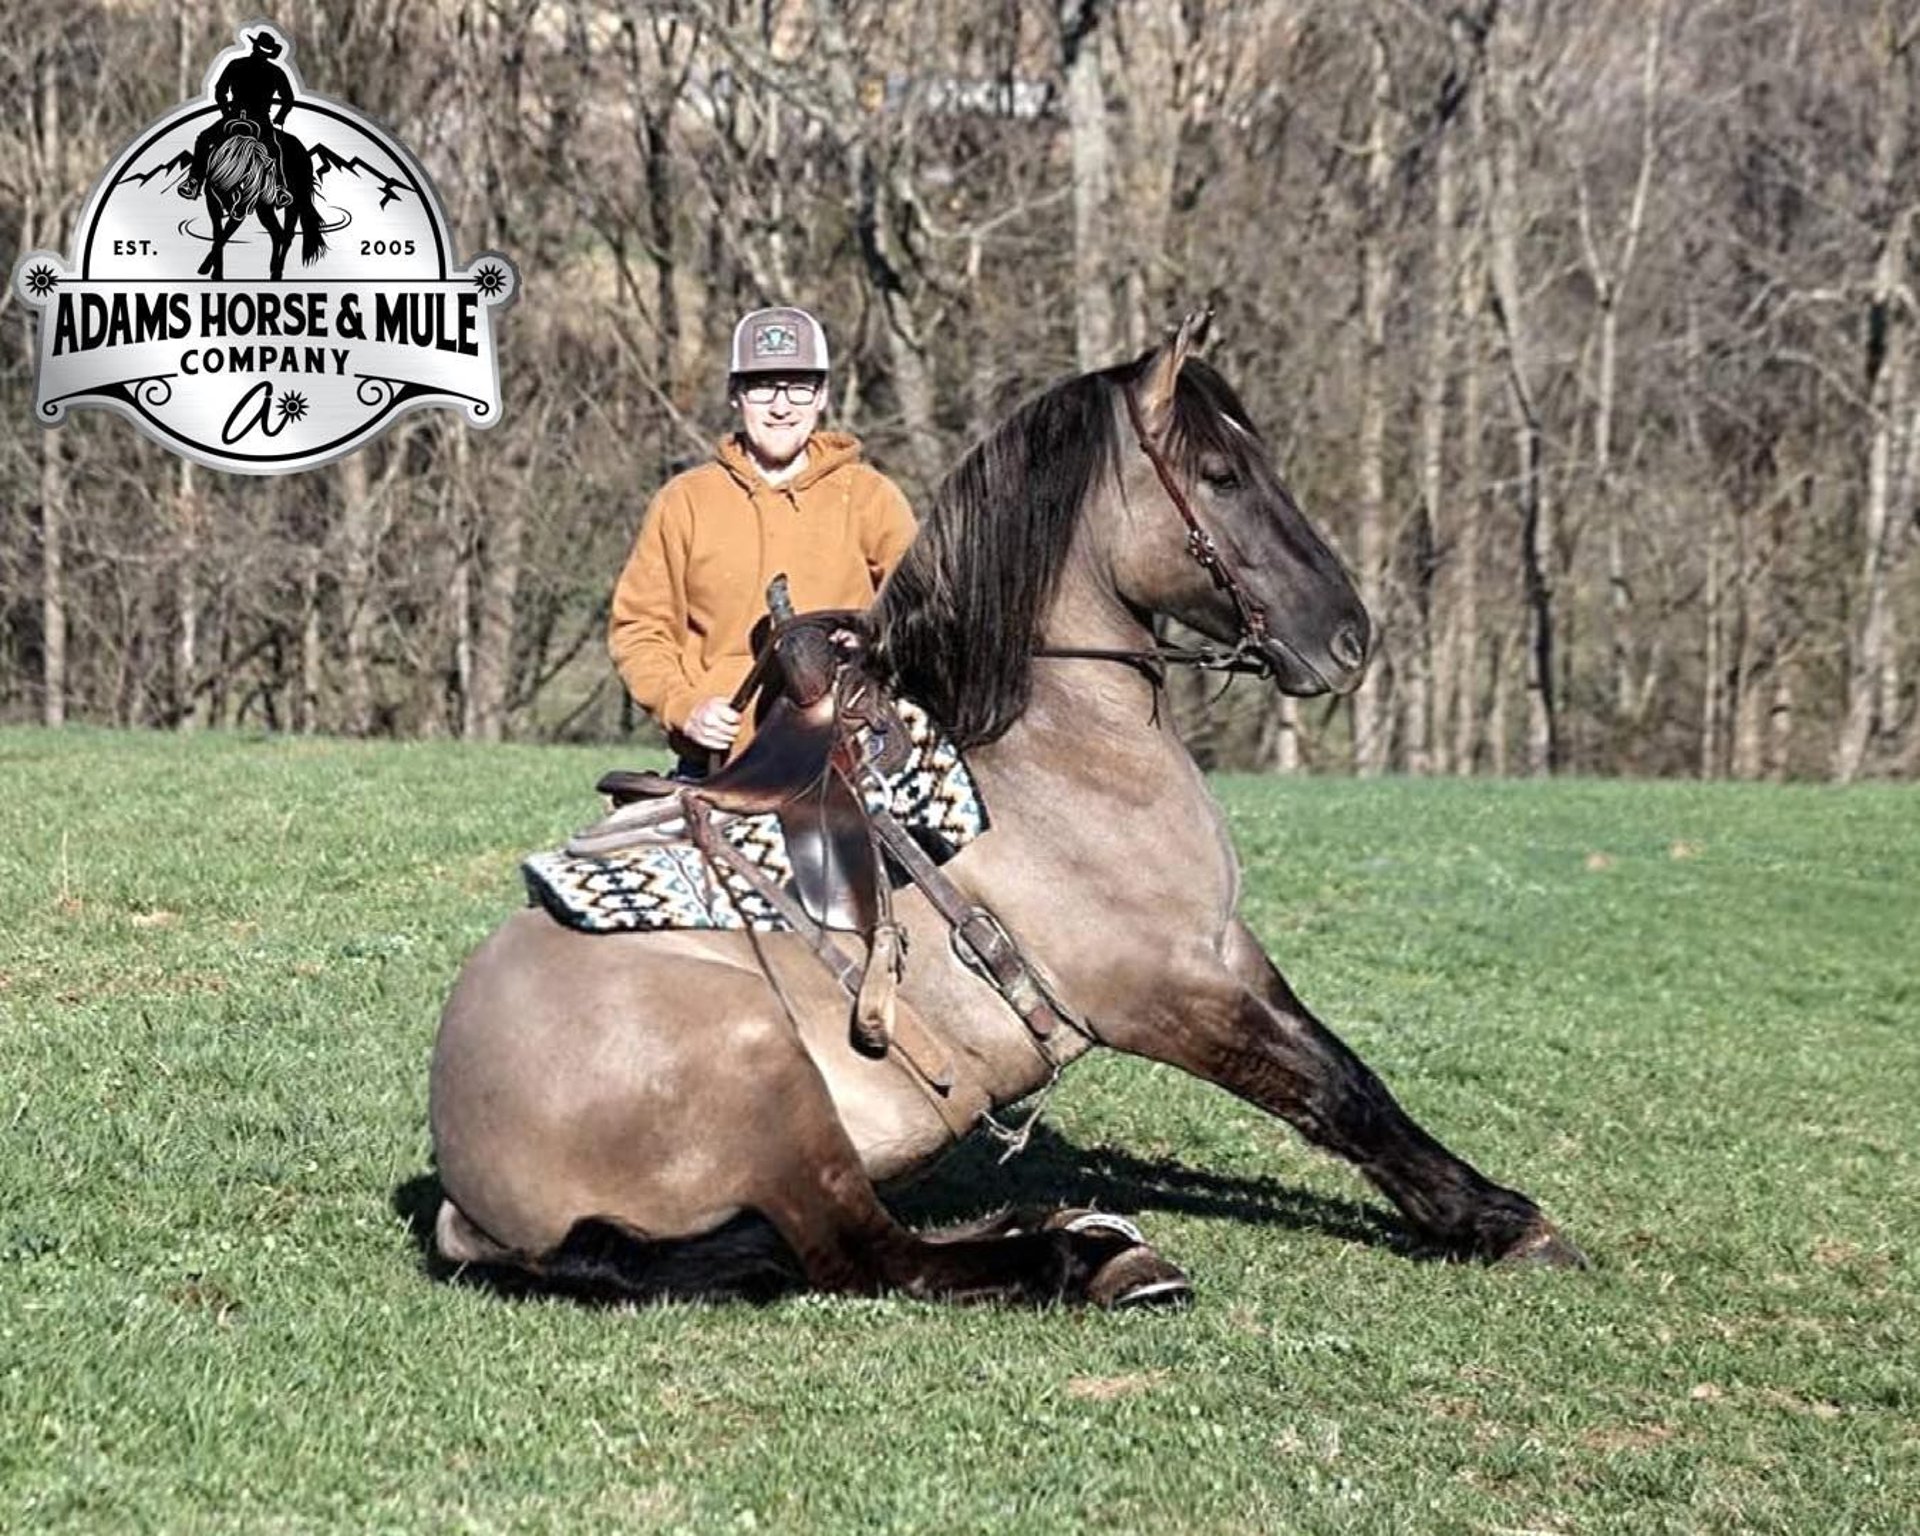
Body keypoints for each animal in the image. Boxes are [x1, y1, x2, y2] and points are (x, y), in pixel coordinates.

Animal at [194, 118, 327, 282]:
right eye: (242, 179)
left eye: (256, 182)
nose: (238, 211)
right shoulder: (213, 204)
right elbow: (218, 234)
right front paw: (213, 271)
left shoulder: (241, 208)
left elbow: (224, 235)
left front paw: (209, 270)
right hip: (265, 209)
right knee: (277, 233)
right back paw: (273, 267)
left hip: (294, 203)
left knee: (287, 235)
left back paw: (277, 272)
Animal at [428, 313, 1587, 1306]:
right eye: (1221, 475)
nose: (1347, 636)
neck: (1056, 753)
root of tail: (464, 1191)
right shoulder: (1160, 994)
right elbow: (1327, 1095)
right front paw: (1502, 1222)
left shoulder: (1226, 952)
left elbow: (1349, 1073)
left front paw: (1477, 1209)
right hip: (769, 1081)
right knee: (867, 1255)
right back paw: (1082, 1260)